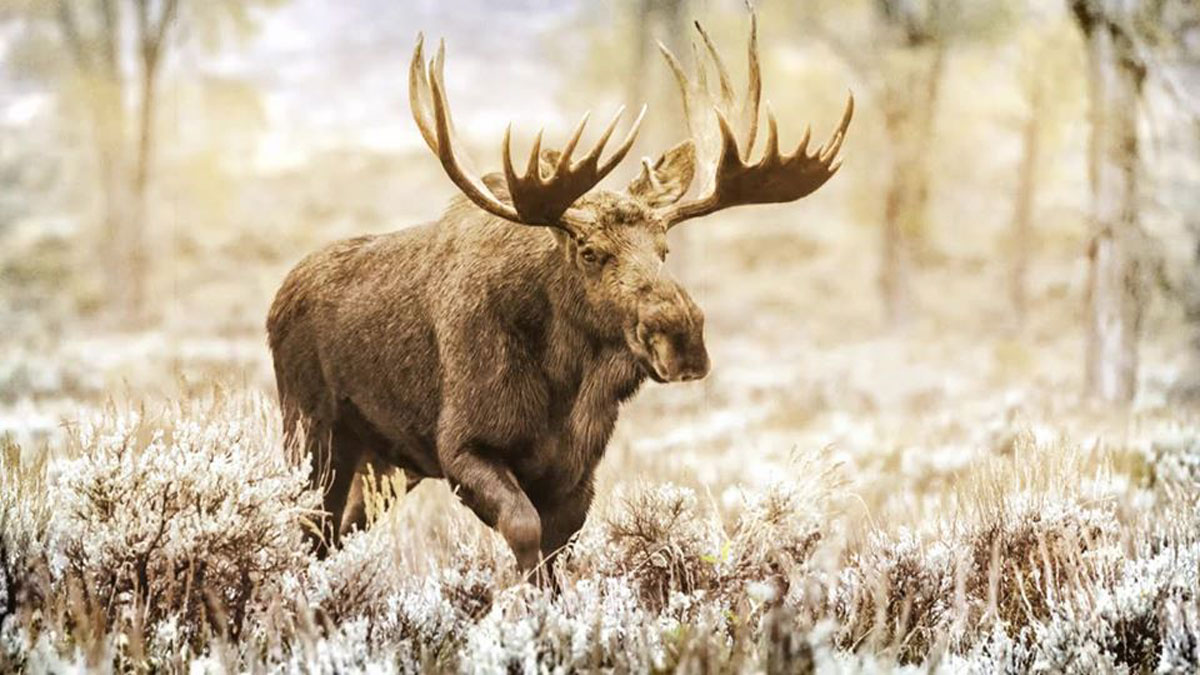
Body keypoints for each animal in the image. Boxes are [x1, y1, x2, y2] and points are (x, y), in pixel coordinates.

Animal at [266, 8, 851, 581]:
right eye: (589, 252)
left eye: (664, 249)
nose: (682, 337)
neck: (565, 386)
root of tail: (278, 298)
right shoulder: (461, 446)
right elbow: (525, 534)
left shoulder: (576, 473)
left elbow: (557, 552)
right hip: (313, 433)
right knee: (309, 530)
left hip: (385, 464)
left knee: (338, 533)